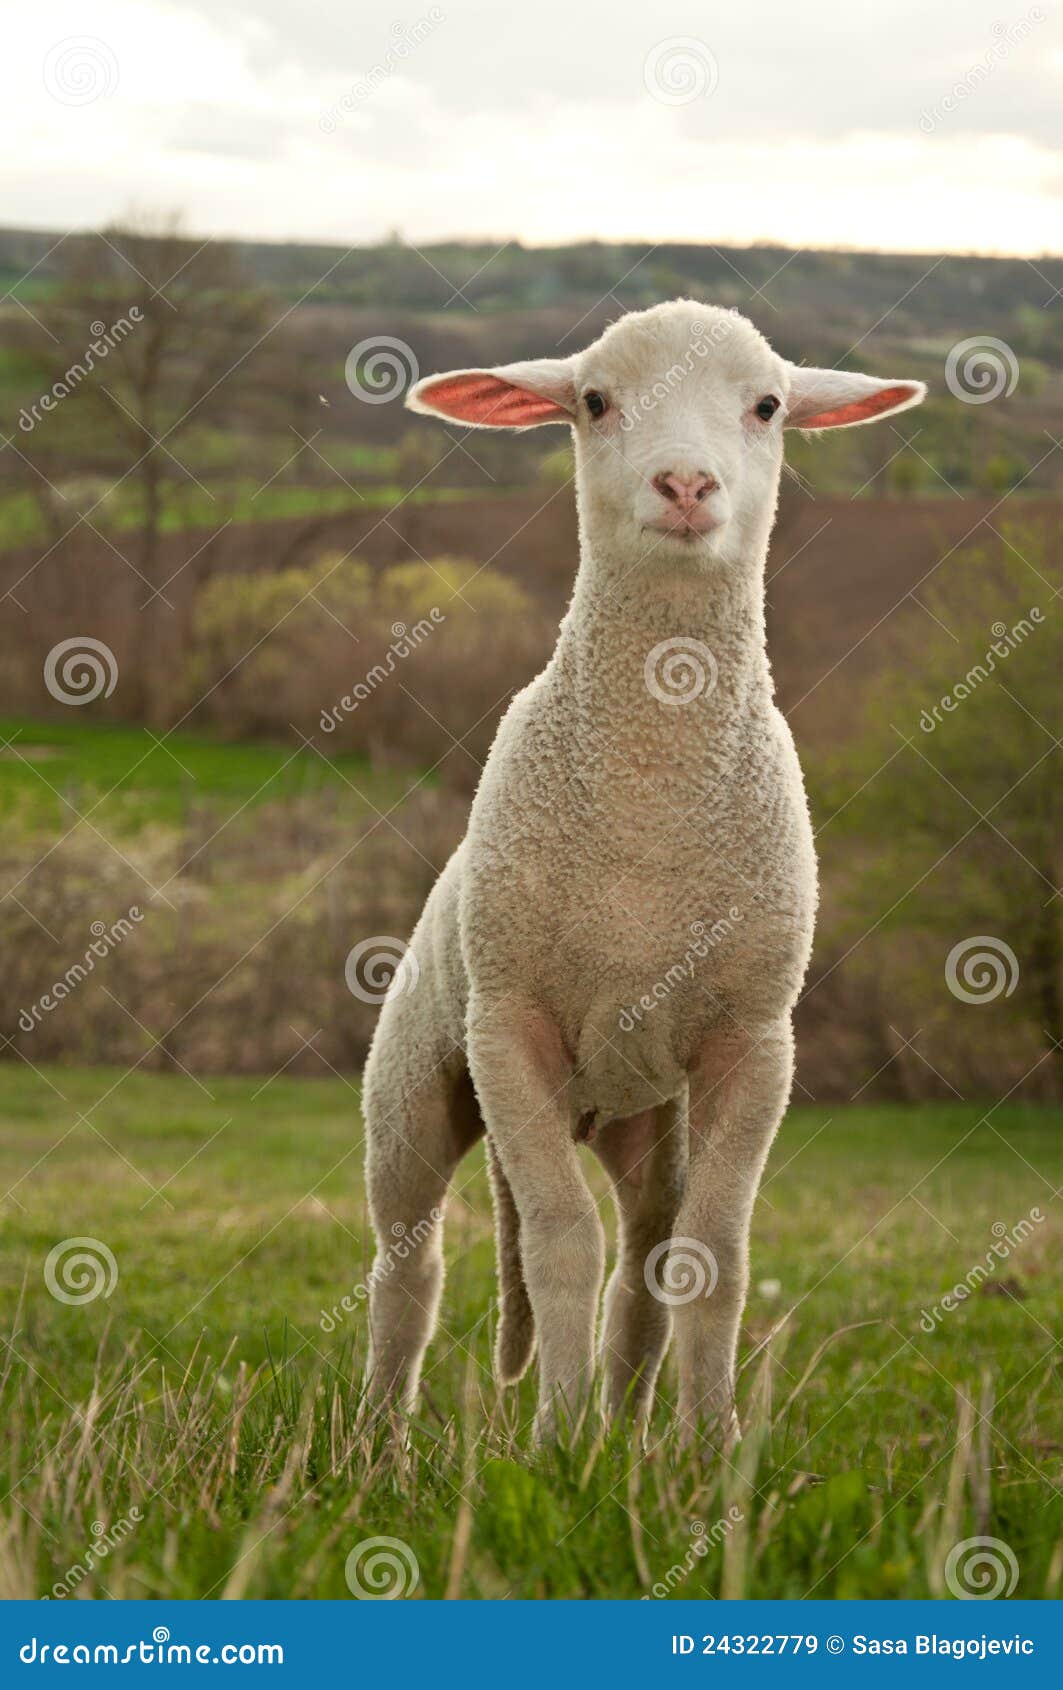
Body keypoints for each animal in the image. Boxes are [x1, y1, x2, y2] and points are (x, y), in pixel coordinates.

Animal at [361, 299, 925, 1443]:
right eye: (592, 400)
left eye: (768, 406)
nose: (685, 485)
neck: (648, 813)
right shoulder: (512, 1024)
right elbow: (558, 1244)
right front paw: (551, 1442)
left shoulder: (754, 1040)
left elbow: (711, 1260)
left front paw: (708, 1449)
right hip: (414, 1091)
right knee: (409, 1268)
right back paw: (376, 1445)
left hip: (646, 1117)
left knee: (646, 1257)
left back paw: (626, 1432)